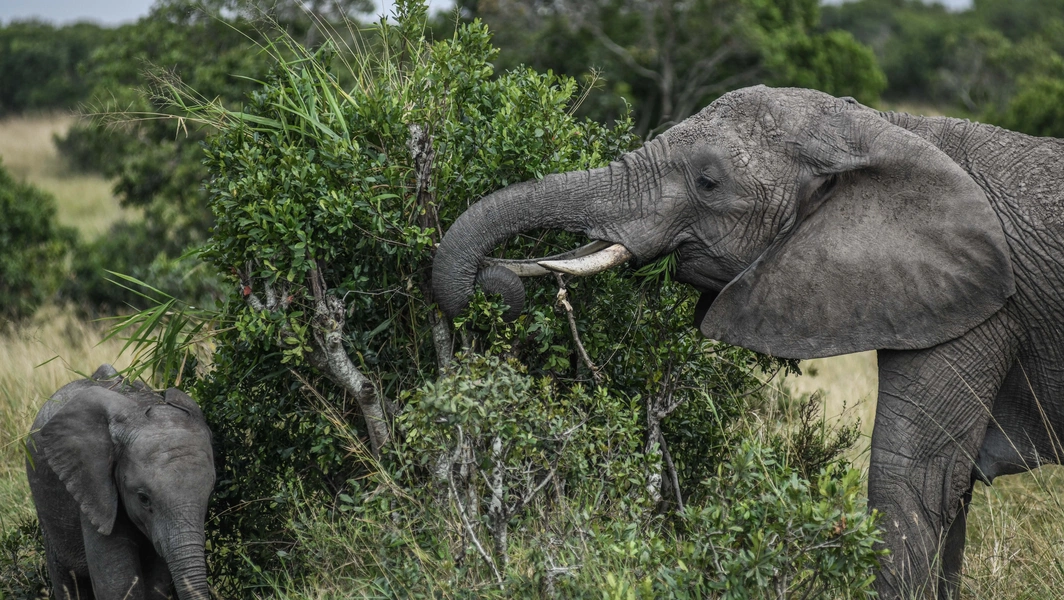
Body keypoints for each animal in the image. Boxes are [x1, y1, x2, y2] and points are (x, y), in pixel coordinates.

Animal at [25, 364, 215, 600]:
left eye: (209, 494)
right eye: (143, 499)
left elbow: (157, 582)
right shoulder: (94, 489)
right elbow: (117, 585)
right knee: (67, 579)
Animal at [432, 85, 1064, 598]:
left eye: (709, 182)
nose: (494, 278)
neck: (883, 127)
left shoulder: (986, 303)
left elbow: (914, 478)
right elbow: (949, 492)